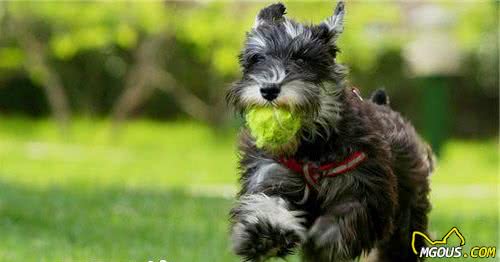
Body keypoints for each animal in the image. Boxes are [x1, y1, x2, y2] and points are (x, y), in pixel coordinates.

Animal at [227, 1, 434, 260]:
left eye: (302, 59)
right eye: (257, 58)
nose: (269, 89)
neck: (311, 145)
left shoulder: (365, 188)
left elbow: (346, 216)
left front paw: (325, 237)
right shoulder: (270, 172)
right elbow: (268, 201)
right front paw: (264, 234)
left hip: (407, 217)